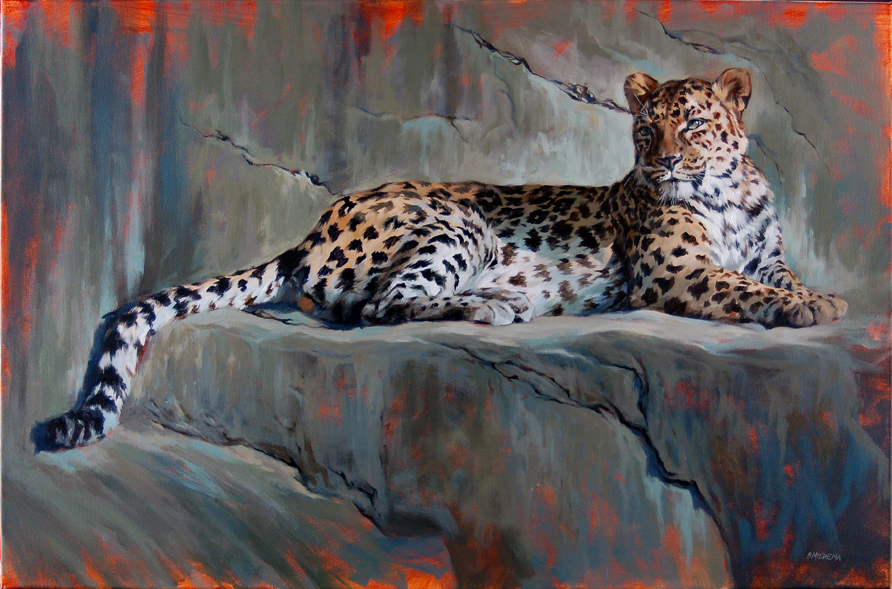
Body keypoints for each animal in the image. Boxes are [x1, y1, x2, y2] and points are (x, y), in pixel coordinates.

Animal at [34, 68, 847, 451]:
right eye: (648, 130)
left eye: (697, 123)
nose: (667, 161)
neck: (726, 192)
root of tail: (315, 225)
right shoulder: (671, 271)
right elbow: (737, 286)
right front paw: (813, 306)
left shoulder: (765, 252)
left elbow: (771, 274)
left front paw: (819, 296)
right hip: (461, 227)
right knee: (377, 305)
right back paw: (495, 304)